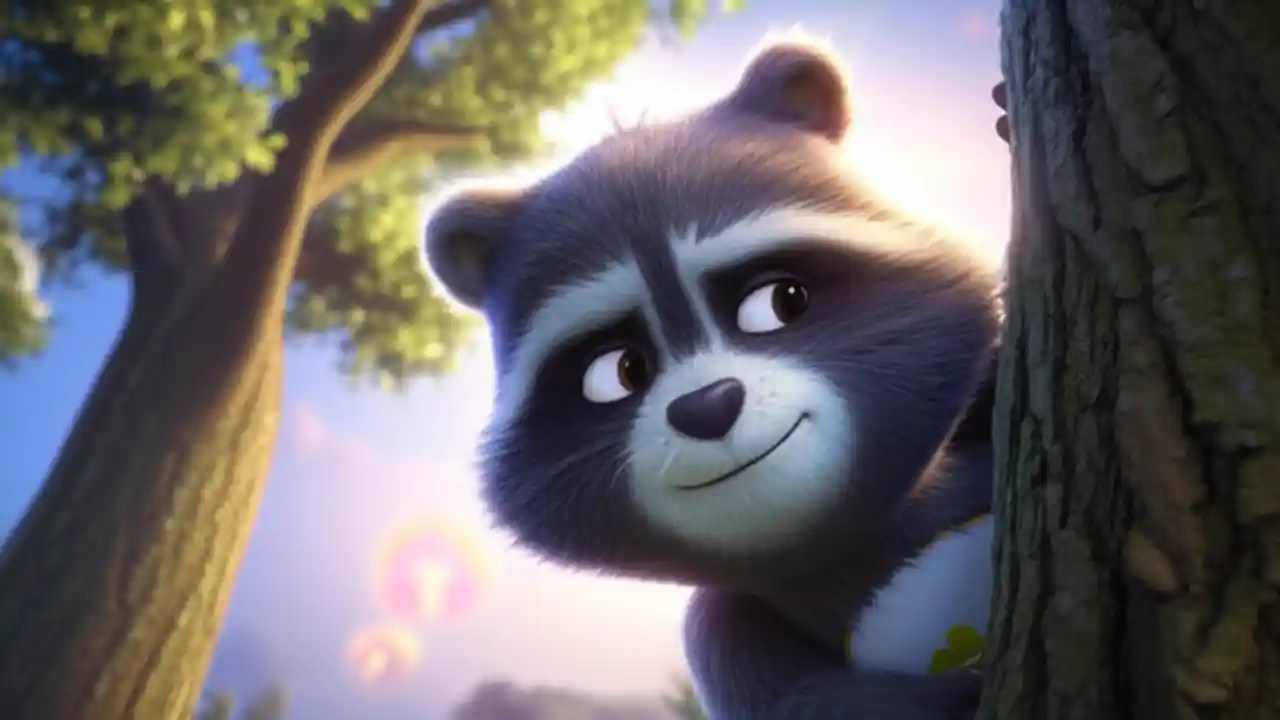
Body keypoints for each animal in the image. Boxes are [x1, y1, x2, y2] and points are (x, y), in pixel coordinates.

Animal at [423, 37, 1002, 720]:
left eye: (779, 302)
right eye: (620, 370)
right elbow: (798, 695)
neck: (848, 542)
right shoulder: (728, 627)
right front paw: (947, 691)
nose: (707, 406)